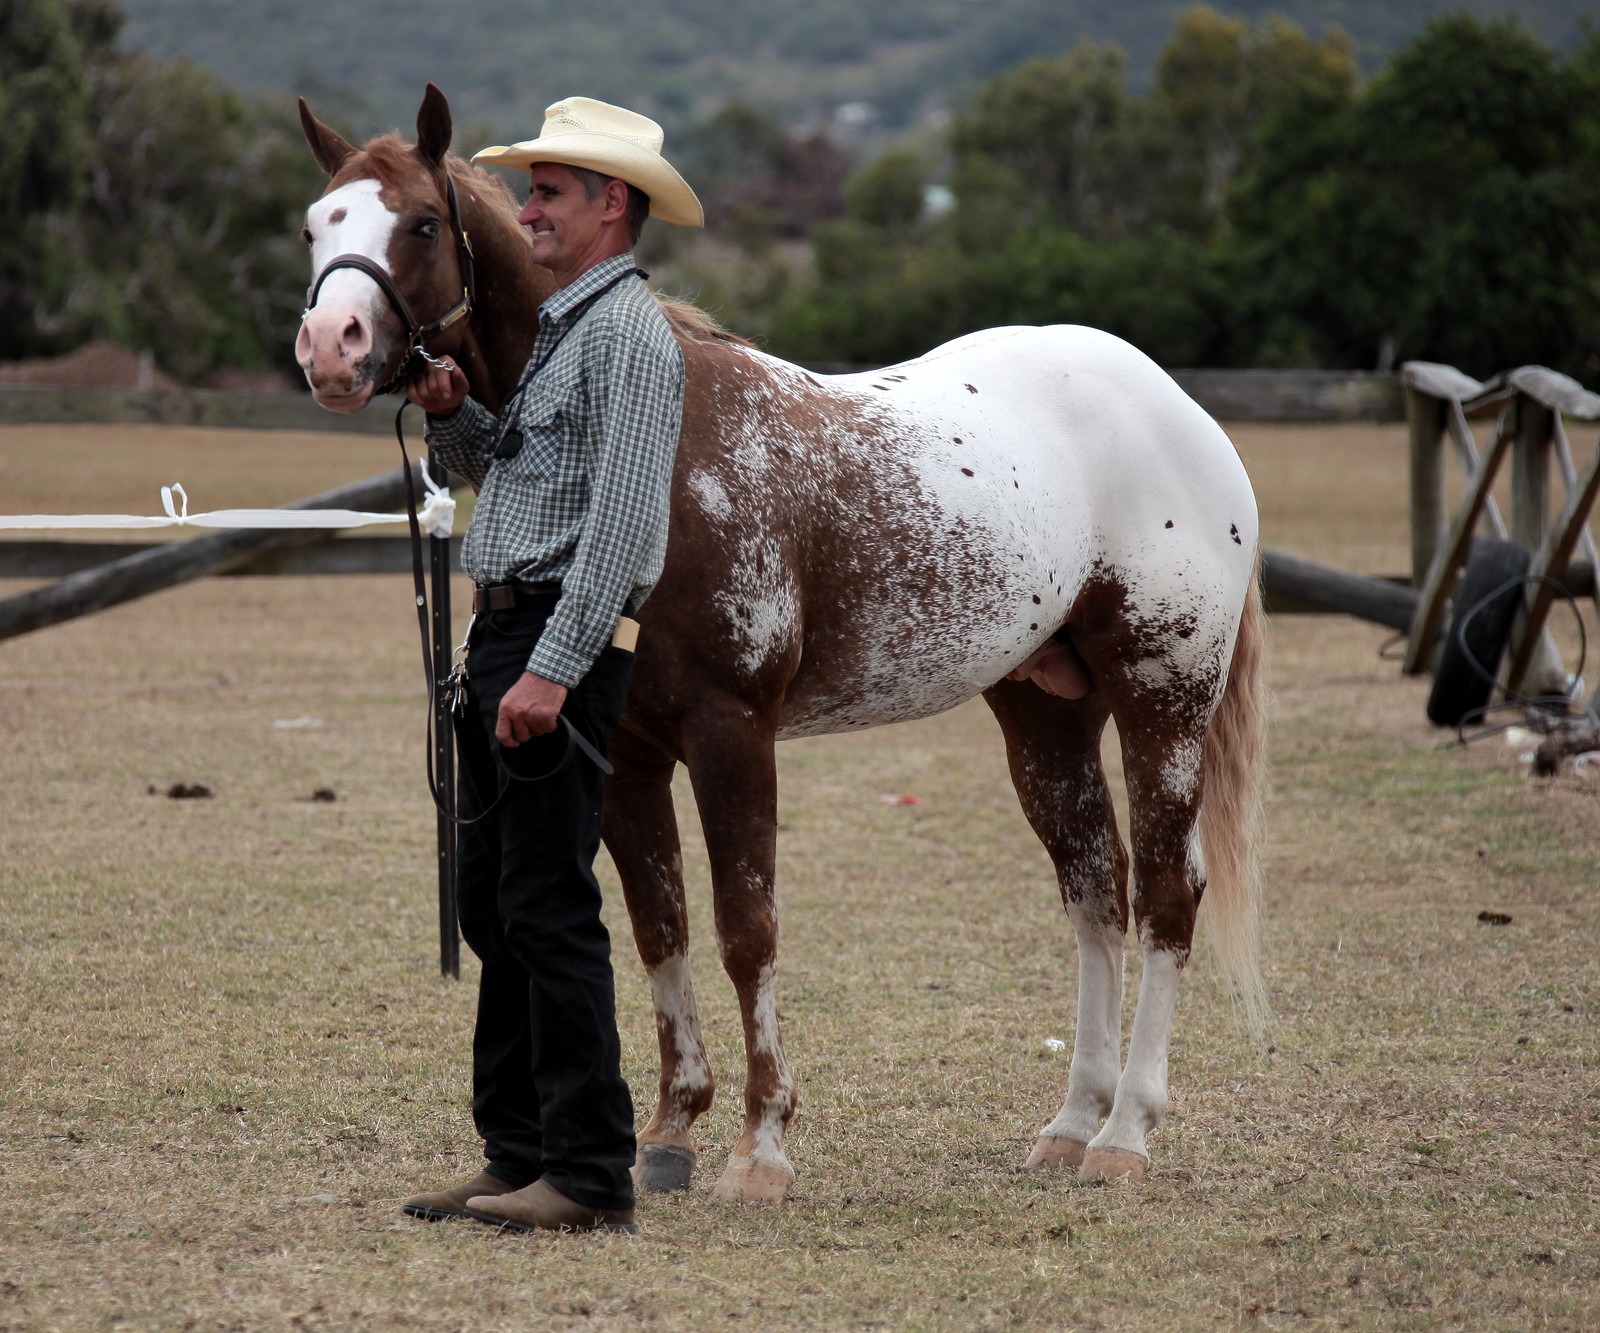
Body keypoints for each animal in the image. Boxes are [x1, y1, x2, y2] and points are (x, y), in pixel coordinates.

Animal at [295, 85, 1267, 1202]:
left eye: (418, 223)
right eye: (316, 224)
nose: (330, 346)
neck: (665, 449)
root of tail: (1180, 409)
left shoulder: (732, 733)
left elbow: (745, 931)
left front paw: (762, 1145)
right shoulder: (622, 754)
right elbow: (660, 927)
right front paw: (670, 1129)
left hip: (1163, 697)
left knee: (1165, 898)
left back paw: (1125, 1133)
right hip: (1045, 709)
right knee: (1094, 892)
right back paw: (1071, 1123)